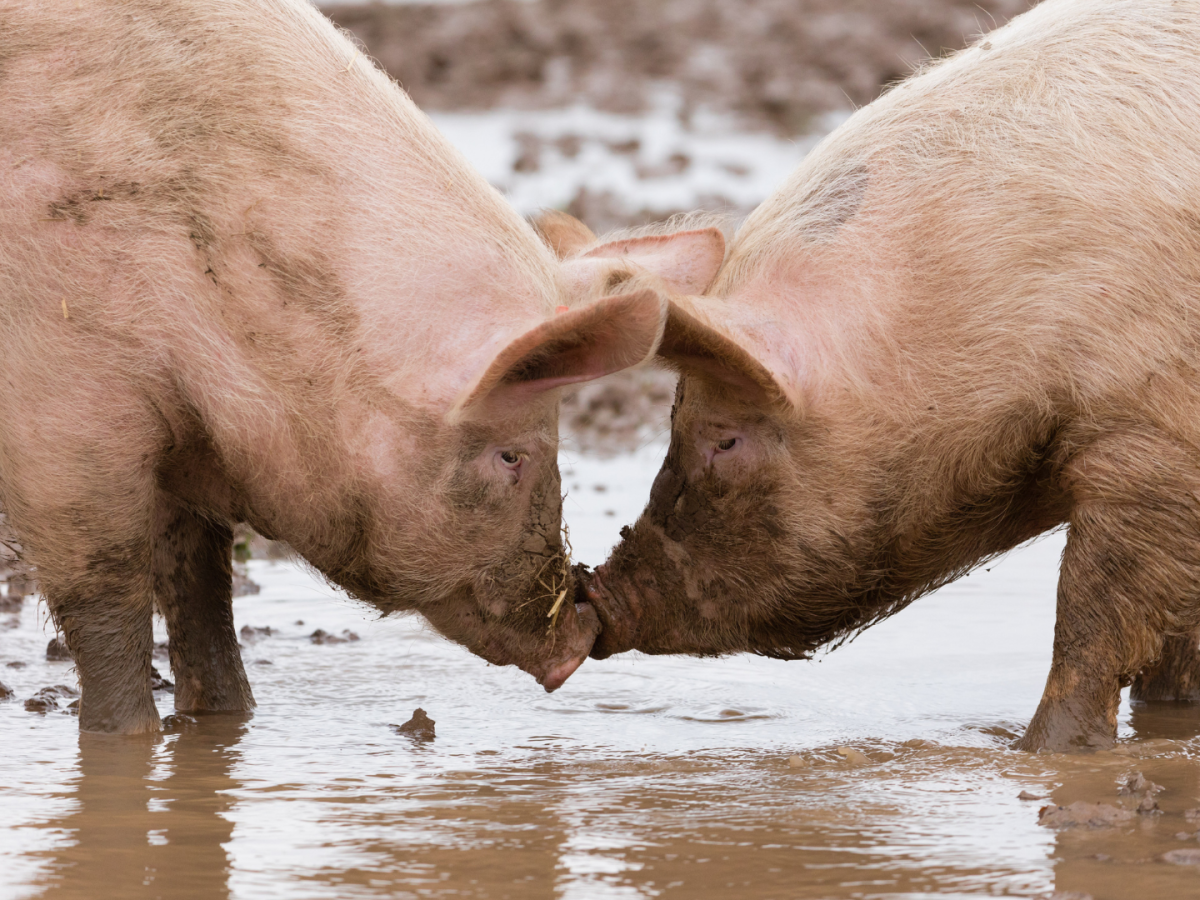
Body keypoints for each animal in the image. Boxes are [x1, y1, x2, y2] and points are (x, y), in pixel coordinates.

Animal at [0, 0, 666, 734]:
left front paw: (228, 720)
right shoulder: (63, 405)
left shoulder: (186, 430)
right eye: (512, 456)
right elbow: (107, 590)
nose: (579, 641)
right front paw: (126, 740)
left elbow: (201, 581)